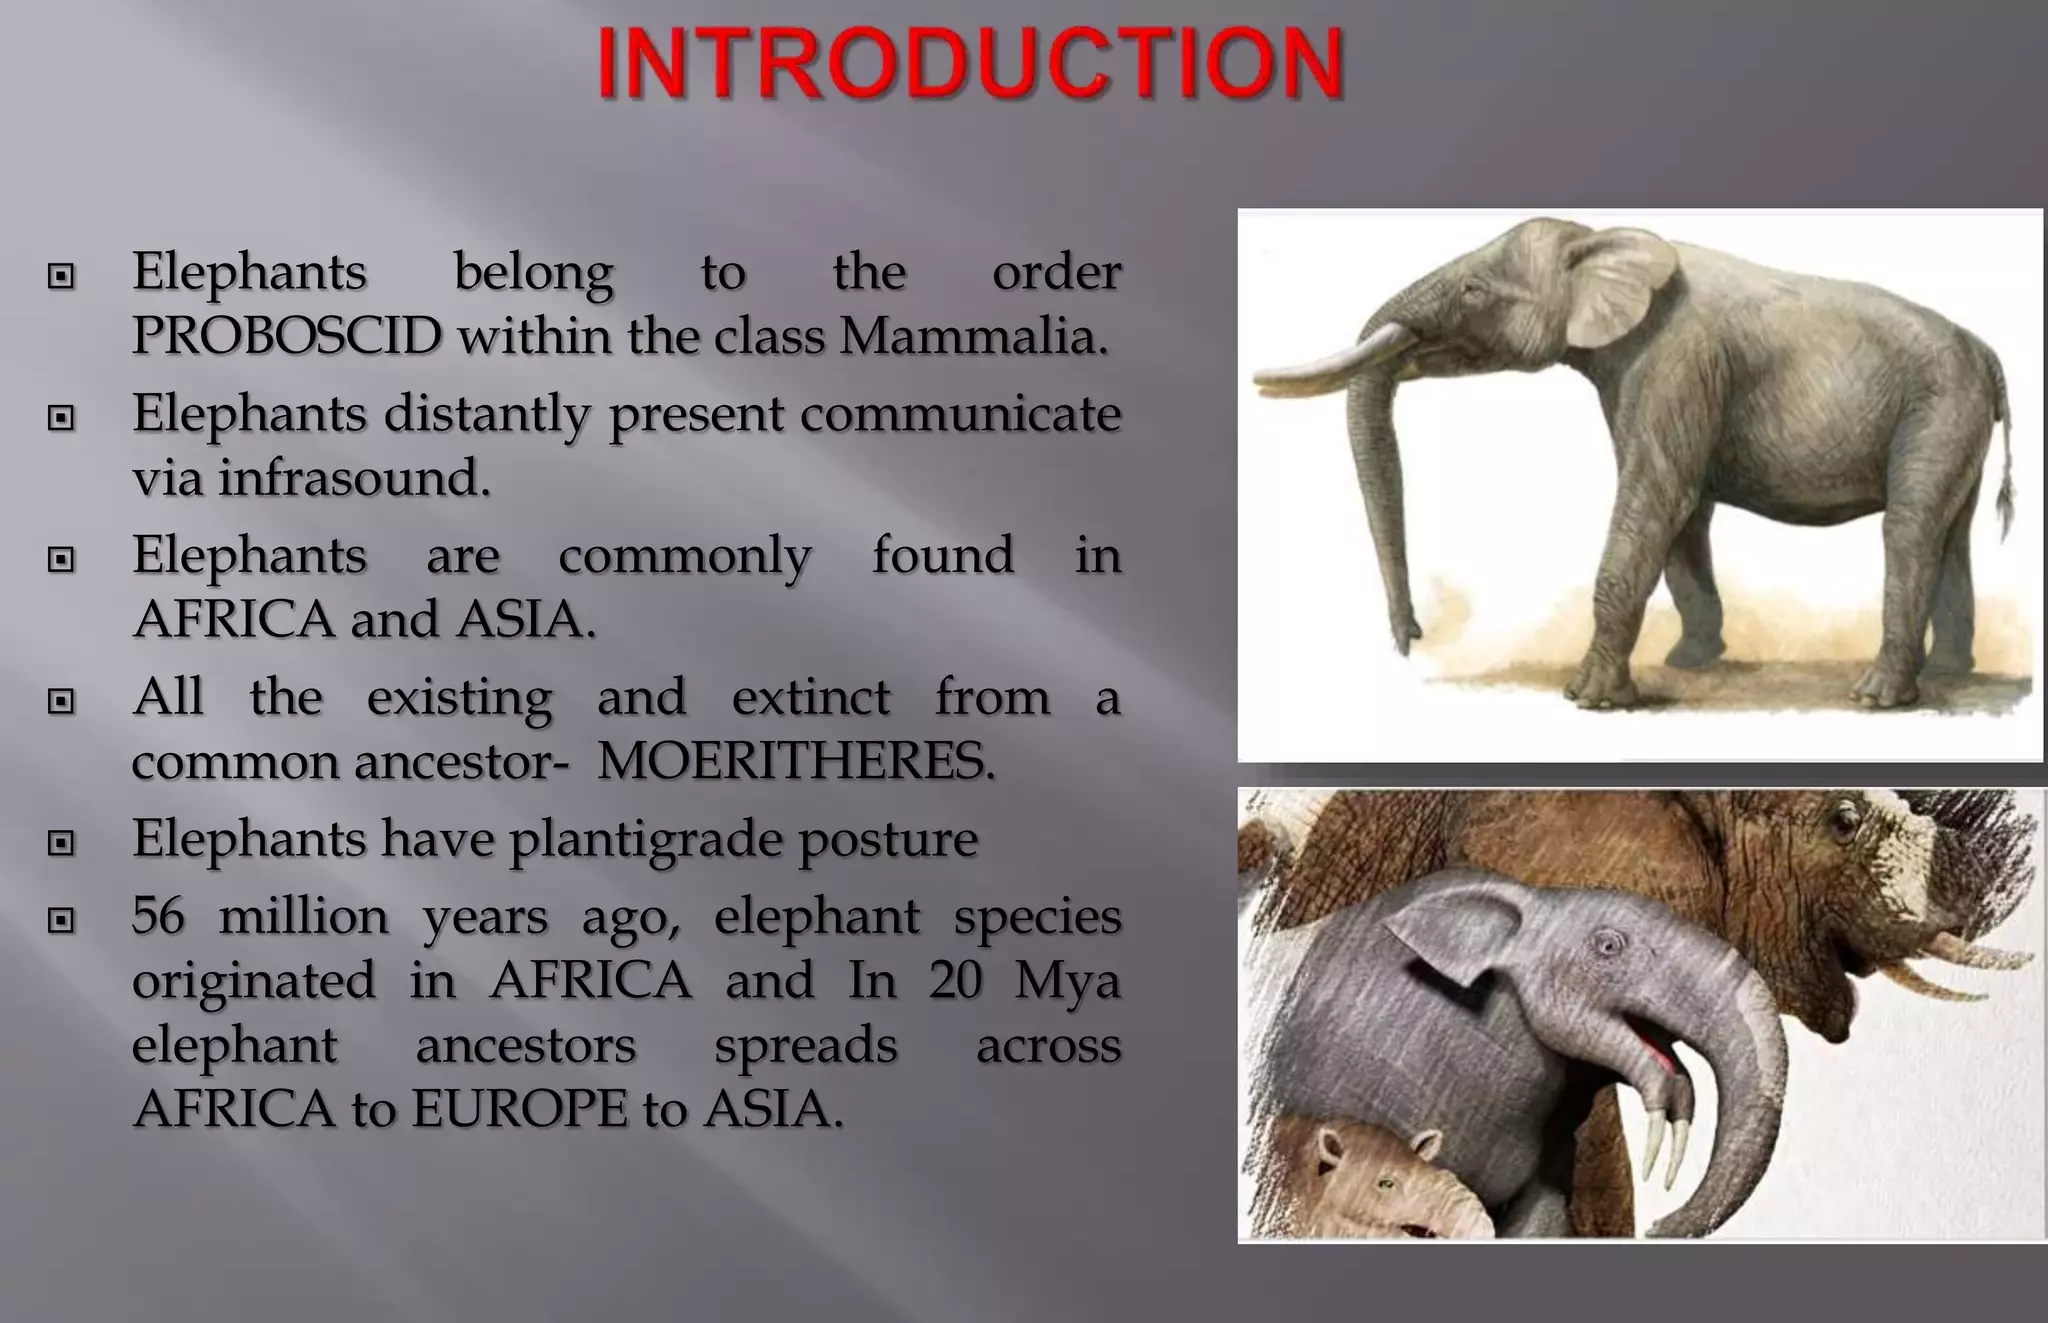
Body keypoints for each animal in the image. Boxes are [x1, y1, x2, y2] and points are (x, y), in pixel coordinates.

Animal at [1250, 217, 2015, 709]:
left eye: (1473, 292)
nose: (1413, 637)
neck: (1595, 239)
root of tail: (1987, 351)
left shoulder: (1675, 360)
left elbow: (1659, 495)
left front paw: (1589, 699)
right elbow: (1684, 511)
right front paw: (1691, 663)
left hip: (1938, 409)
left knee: (1910, 528)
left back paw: (1881, 697)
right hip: (1955, 419)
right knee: (1950, 534)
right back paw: (1952, 675)